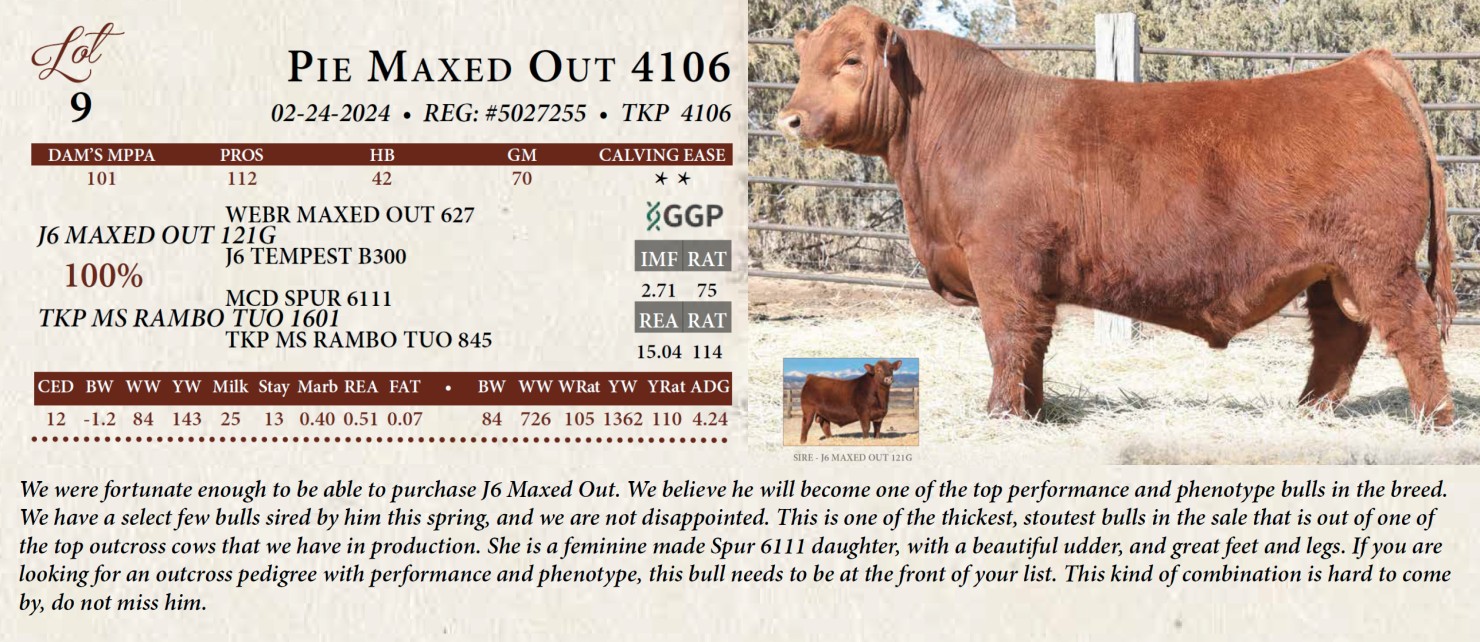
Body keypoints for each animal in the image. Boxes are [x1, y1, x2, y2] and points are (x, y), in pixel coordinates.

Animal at [776, 5, 1457, 426]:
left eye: (851, 60)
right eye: (803, 63)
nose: (791, 118)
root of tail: (1364, 66)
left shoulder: (1002, 264)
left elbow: (1005, 339)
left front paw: (1000, 414)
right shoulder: (1035, 277)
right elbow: (1034, 345)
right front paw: (1033, 412)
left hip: (1379, 261)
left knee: (1414, 331)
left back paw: (1433, 422)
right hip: (1330, 270)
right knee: (1340, 337)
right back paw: (1309, 409)